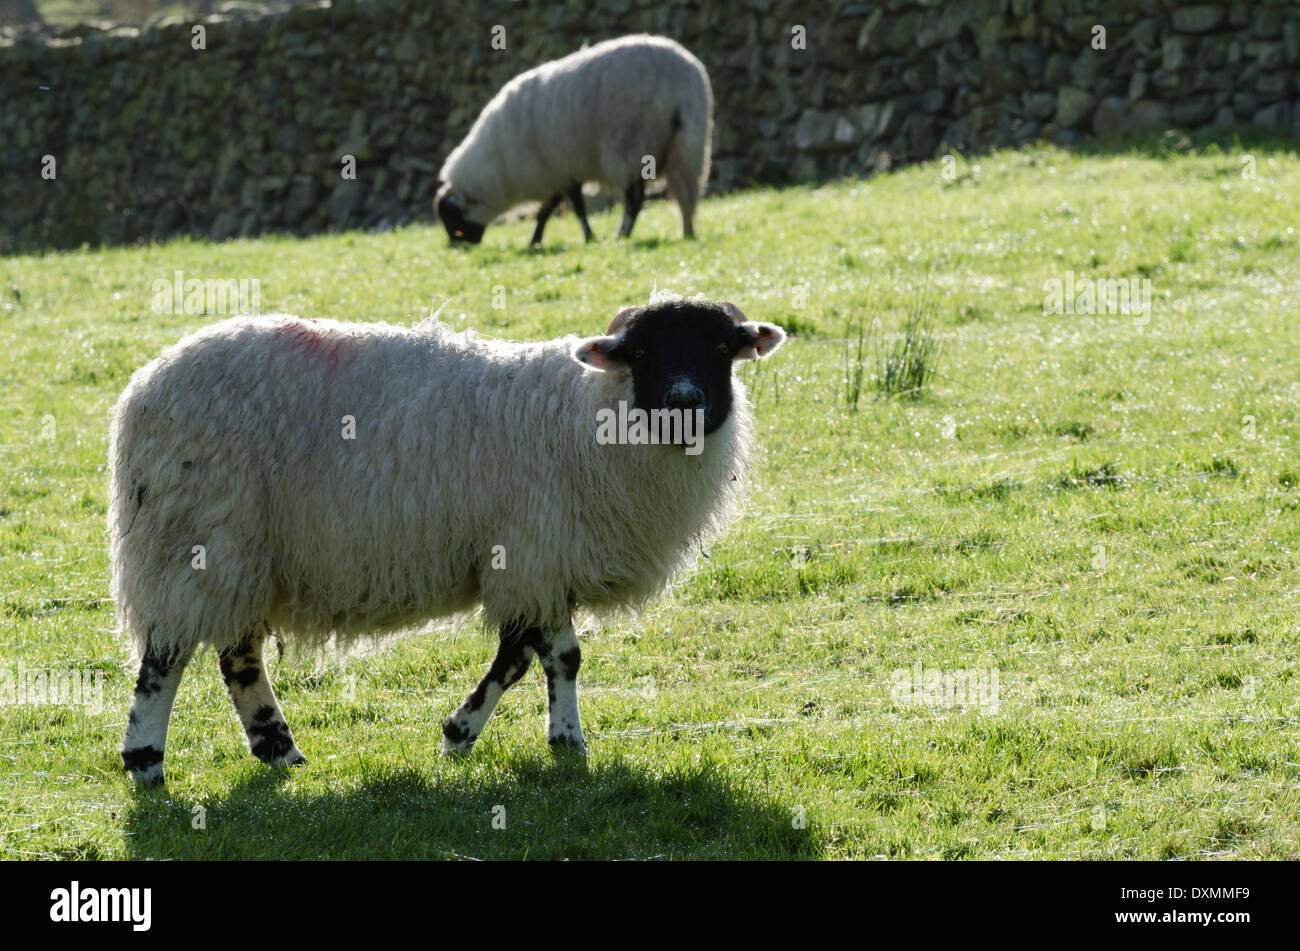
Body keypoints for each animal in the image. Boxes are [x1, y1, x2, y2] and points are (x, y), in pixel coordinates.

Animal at [111, 297, 786, 784]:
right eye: (643, 350)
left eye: (721, 347)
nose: (686, 402)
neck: (592, 416)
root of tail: (142, 387)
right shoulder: (535, 554)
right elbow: (561, 657)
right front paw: (566, 741)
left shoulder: (535, 568)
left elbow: (518, 657)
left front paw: (462, 733)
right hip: (197, 535)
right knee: (165, 657)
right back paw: (146, 761)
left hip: (241, 555)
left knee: (237, 657)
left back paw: (278, 749)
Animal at [435, 34, 713, 247]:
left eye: (453, 220)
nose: (458, 248)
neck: (499, 165)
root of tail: (677, 87)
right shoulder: (557, 173)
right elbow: (547, 211)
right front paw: (535, 241)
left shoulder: (561, 170)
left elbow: (574, 208)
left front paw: (588, 238)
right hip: (689, 144)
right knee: (687, 194)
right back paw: (687, 231)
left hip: (633, 148)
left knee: (634, 199)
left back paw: (622, 235)